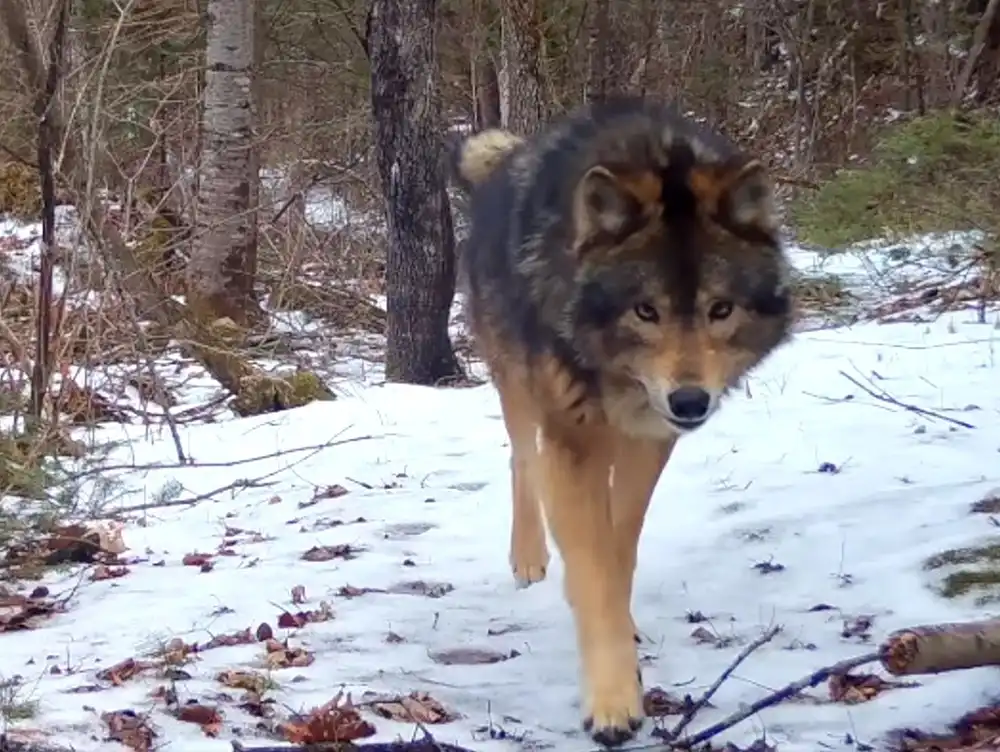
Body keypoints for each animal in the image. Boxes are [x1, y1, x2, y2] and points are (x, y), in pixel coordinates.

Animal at [449, 97, 794, 747]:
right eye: (645, 311)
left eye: (720, 309)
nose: (690, 402)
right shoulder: (572, 438)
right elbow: (594, 567)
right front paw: (613, 703)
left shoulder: (647, 440)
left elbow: (619, 547)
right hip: (520, 389)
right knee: (522, 459)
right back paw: (529, 559)